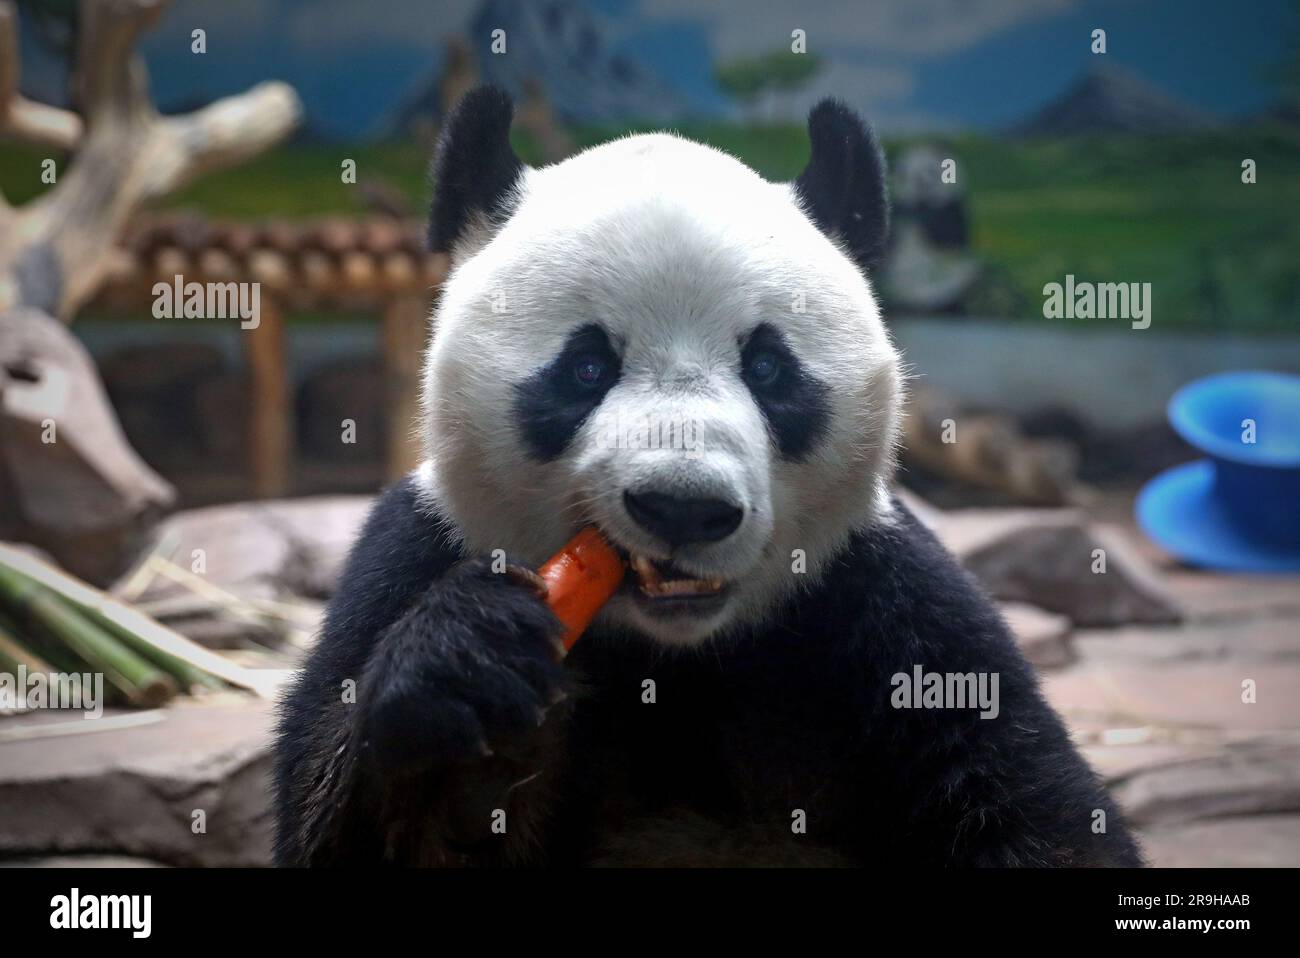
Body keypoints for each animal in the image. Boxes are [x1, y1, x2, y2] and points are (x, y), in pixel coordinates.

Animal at [273, 86, 1143, 868]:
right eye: (586, 367)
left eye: (768, 367)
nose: (682, 508)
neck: (677, 653)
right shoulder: (413, 553)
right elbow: (342, 820)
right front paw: (467, 675)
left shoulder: (888, 606)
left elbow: (1038, 814)